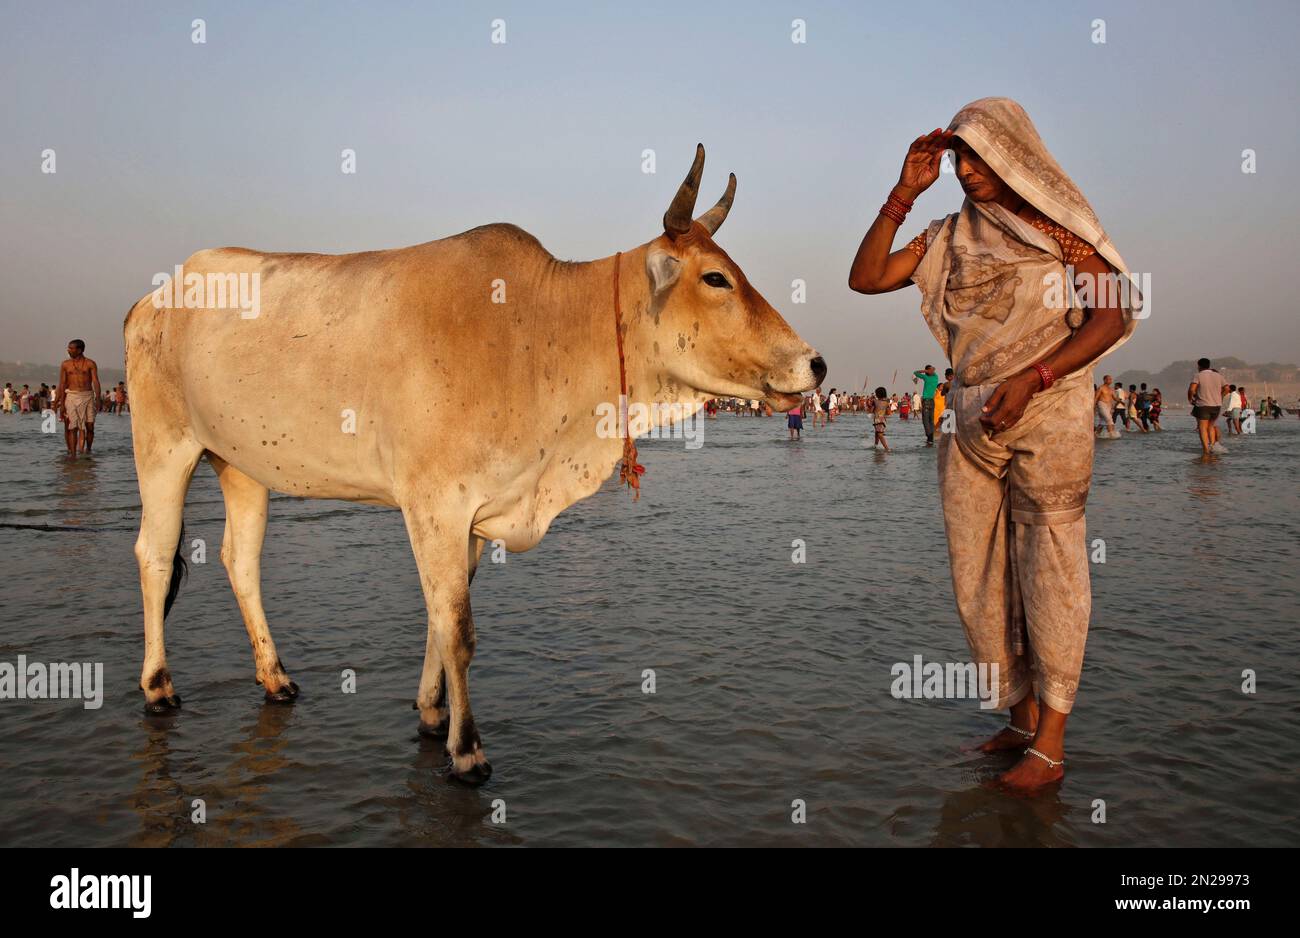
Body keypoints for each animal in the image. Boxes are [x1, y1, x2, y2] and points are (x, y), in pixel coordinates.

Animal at [125, 145, 826, 784]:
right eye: (716, 279)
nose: (815, 364)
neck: (539, 331)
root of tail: (154, 299)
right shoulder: (436, 504)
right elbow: (458, 627)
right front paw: (467, 750)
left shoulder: (470, 516)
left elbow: (440, 617)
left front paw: (433, 714)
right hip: (164, 445)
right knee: (155, 555)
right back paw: (159, 687)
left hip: (240, 462)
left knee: (241, 561)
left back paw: (275, 678)